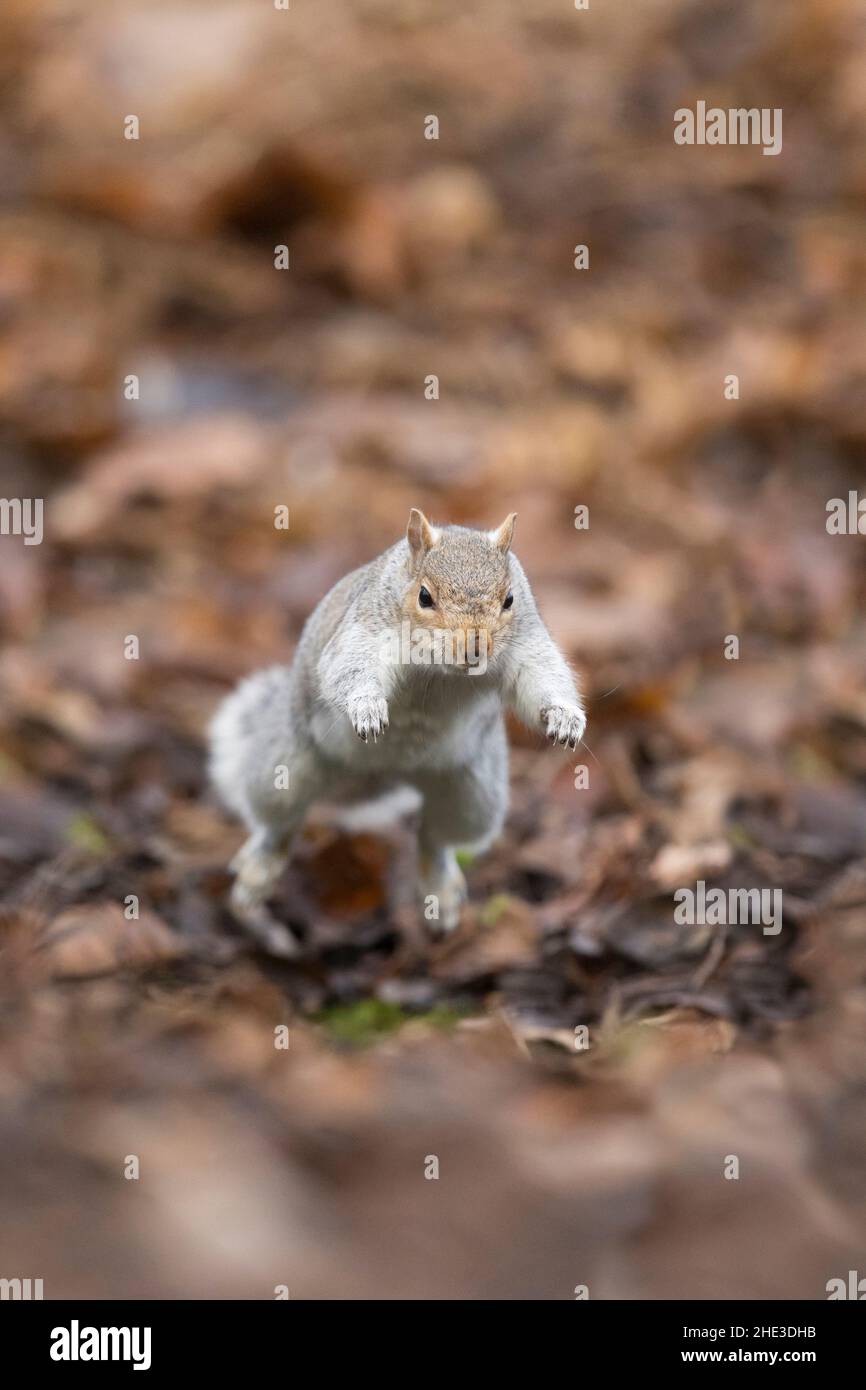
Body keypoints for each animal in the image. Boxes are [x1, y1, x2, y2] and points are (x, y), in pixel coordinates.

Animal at [209, 509, 586, 954]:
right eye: (424, 596)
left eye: (509, 599)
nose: (474, 648)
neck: (438, 671)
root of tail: (388, 771)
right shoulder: (365, 631)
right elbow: (348, 669)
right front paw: (367, 708)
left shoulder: (526, 644)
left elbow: (541, 677)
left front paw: (565, 716)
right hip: (286, 765)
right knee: (281, 822)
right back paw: (259, 868)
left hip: (472, 791)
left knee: (434, 835)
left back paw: (439, 887)